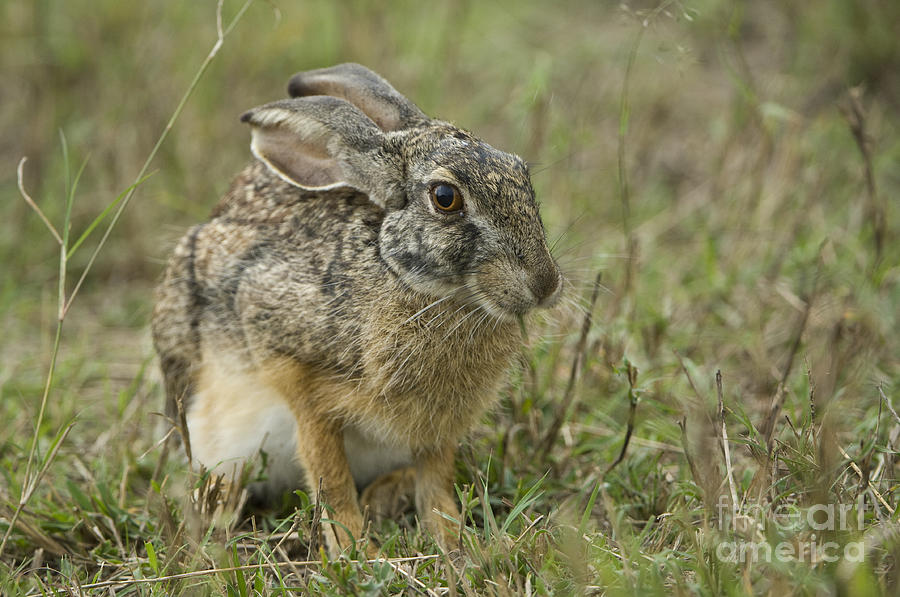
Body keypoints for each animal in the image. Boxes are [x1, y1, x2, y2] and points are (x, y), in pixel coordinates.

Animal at [151, 63, 562, 556]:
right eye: (445, 197)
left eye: (522, 173)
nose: (545, 284)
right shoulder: (293, 370)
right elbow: (329, 474)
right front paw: (355, 550)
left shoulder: (439, 424)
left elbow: (436, 480)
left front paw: (452, 539)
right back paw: (217, 506)